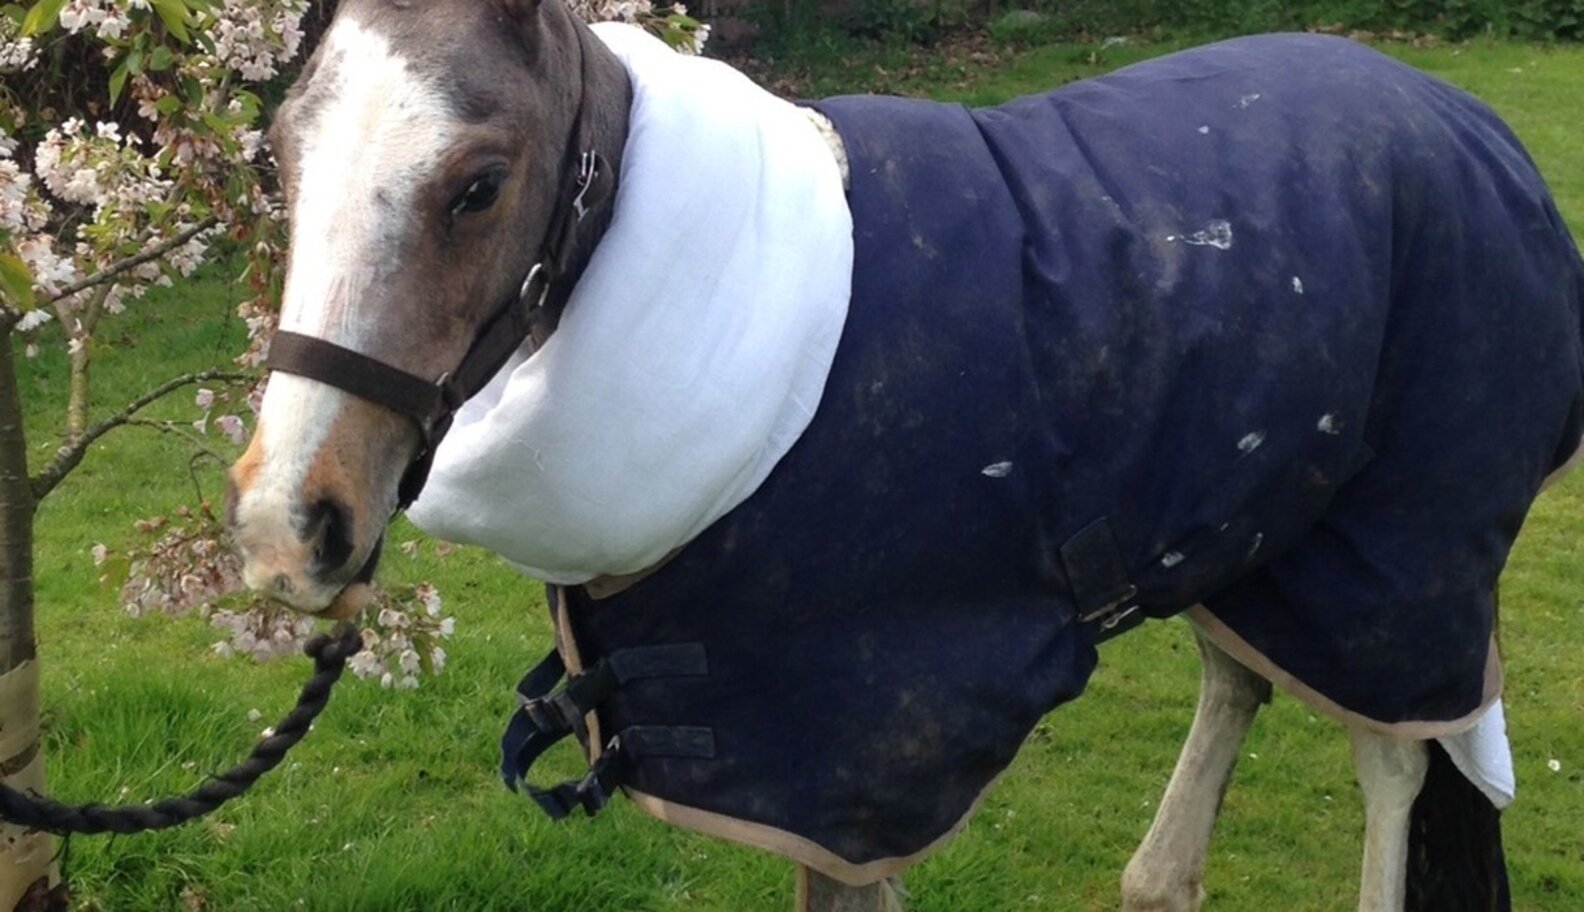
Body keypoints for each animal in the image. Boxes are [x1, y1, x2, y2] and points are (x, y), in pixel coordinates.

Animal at [225, 0, 1584, 909]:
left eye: (479, 183)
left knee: (1398, 761)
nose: (289, 526)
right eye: (281, 159)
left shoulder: (859, 760)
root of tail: (1470, 124)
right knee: (1240, 677)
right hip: (1259, 531)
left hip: (1397, 563)